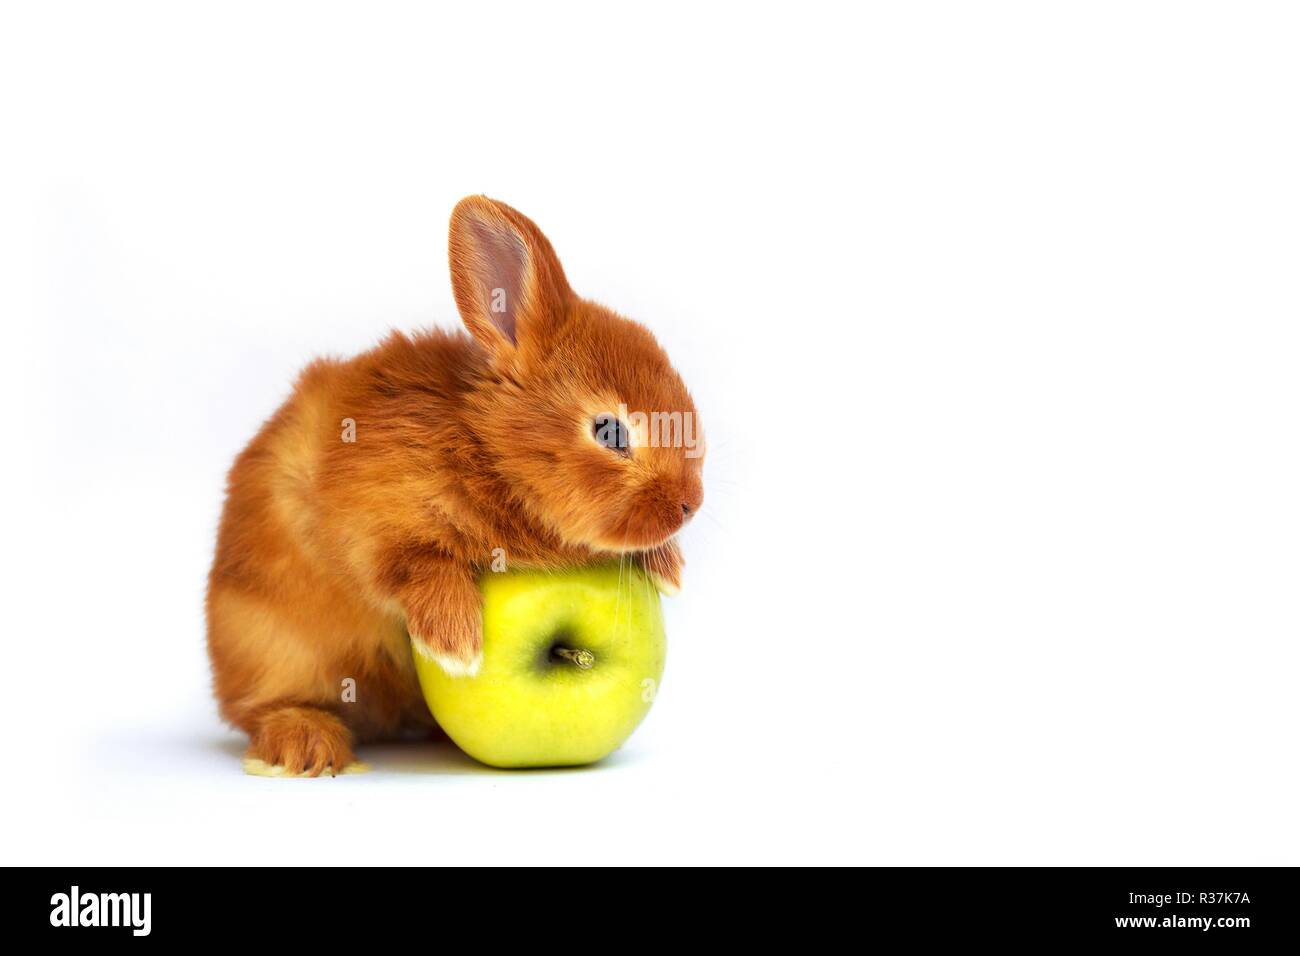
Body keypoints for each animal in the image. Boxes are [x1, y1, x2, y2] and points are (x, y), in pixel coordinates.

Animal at [206, 196, 704, 776]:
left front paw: (668, 567)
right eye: (609, 431)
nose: (690, 504)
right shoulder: (369, 527)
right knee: (266, 706)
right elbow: (414, 563)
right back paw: (306, 745)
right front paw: (456, 642)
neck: (486, 449)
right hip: (273, 646)